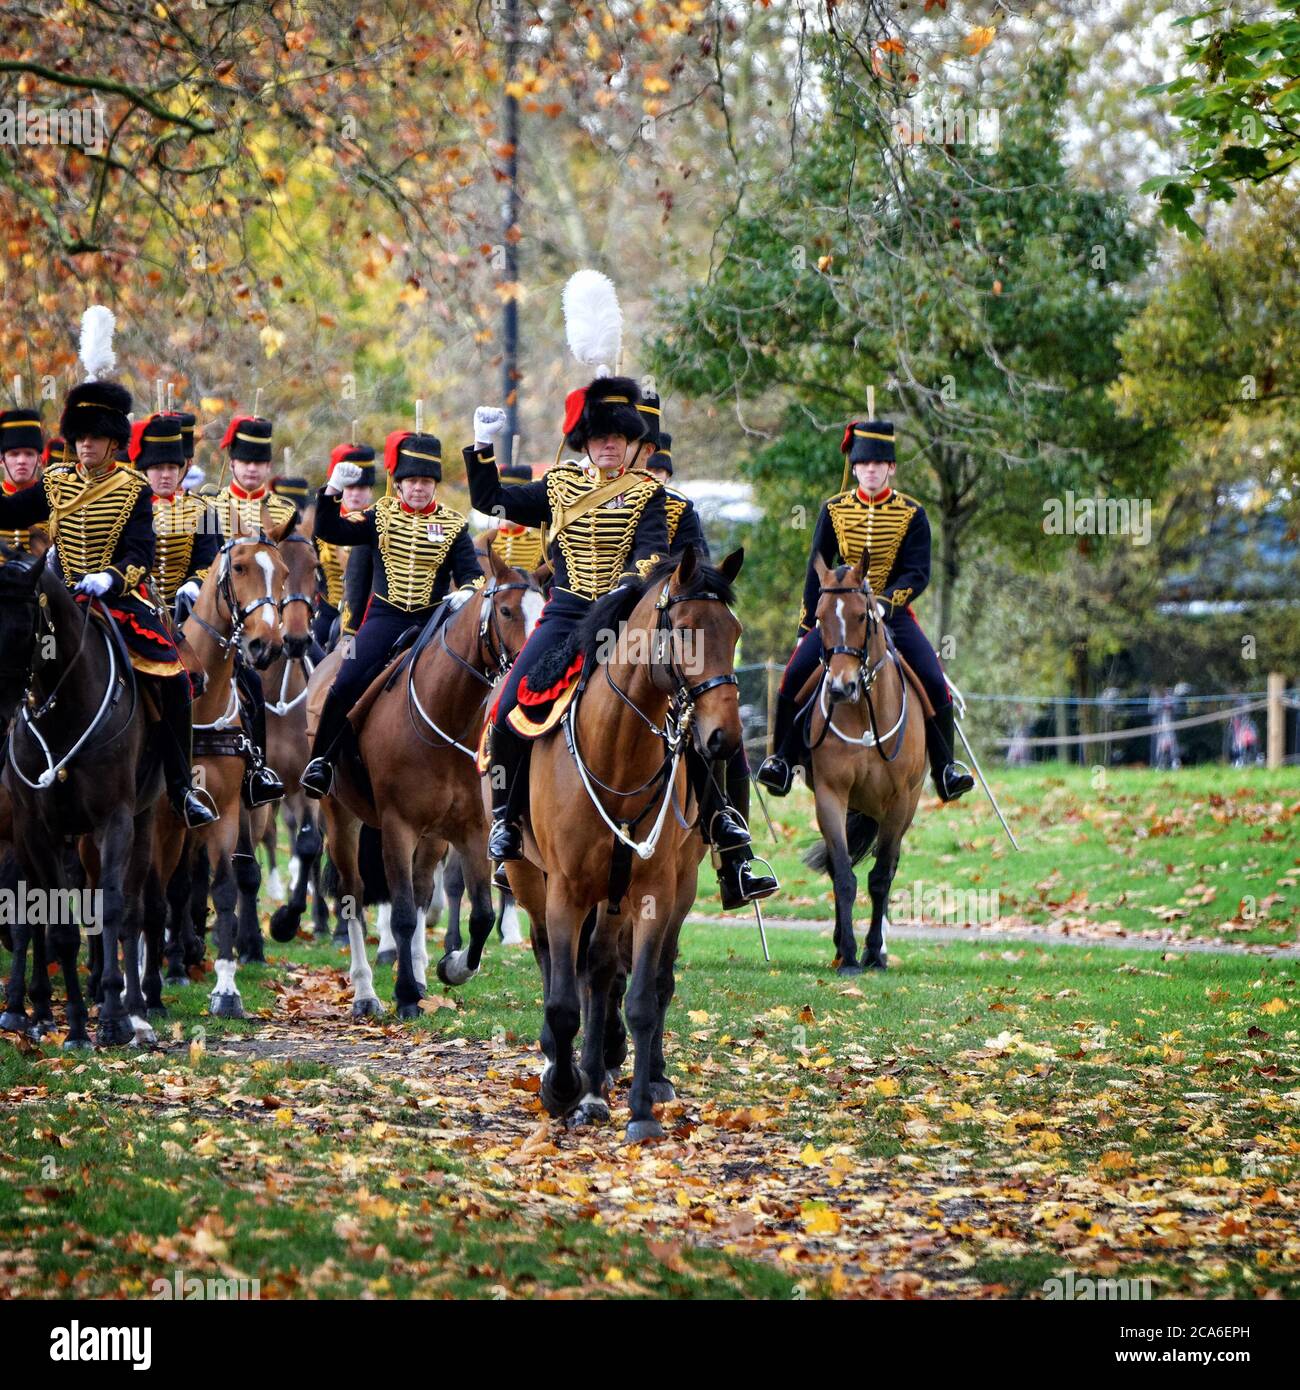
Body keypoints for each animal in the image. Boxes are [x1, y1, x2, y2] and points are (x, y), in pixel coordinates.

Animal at [0, 543, 163, 1047]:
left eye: (22, 627)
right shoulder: (36, 831)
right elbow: (58, 929)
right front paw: (72, 1024)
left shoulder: (116, 819)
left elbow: (111, 909)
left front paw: (111, 1017)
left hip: (144, 821)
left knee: (131, 910)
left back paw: (136, 1009)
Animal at [150, 528, 290, 1019]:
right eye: (241, 568)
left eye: (283, 572)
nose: (267, 645)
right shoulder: (168, 814)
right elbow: (172, 888)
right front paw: (171, 966)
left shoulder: (226, 810)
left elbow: (225, 887)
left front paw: (226, 989)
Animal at [311, 546, 542, 1019]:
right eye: (506, 610)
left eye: (544, 609)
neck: (446, 713)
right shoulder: (397, 826)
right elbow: (398, 912)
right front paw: (403, 996)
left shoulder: (471, 830)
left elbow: (479, 915)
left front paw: (449, 968)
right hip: (341, 820)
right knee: (352, 896)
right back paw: (366, 992)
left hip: (432, 835)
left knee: (420, 893)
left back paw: (416, 972)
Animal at [493, 547, 745, 1142]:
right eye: (684, 631)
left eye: (734, 632)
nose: (723, 738)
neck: (616, 754)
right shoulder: (564, 889)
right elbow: (563, 999)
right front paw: (562, 1087)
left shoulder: (653, 889)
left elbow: (643, 998)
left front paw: (640, 1111)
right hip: (530, 878)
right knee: (559, 961)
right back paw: (569, 1069)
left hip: (650, 888)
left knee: (616, 970)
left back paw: (618, 1074)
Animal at [800, 553, 927, 974]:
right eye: (819, 616)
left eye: (861, 616)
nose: (841, 688)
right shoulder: (830, 794)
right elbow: (843, 873)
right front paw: (850, 953)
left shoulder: (900, 801)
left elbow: (881, 876)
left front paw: (873, 951)